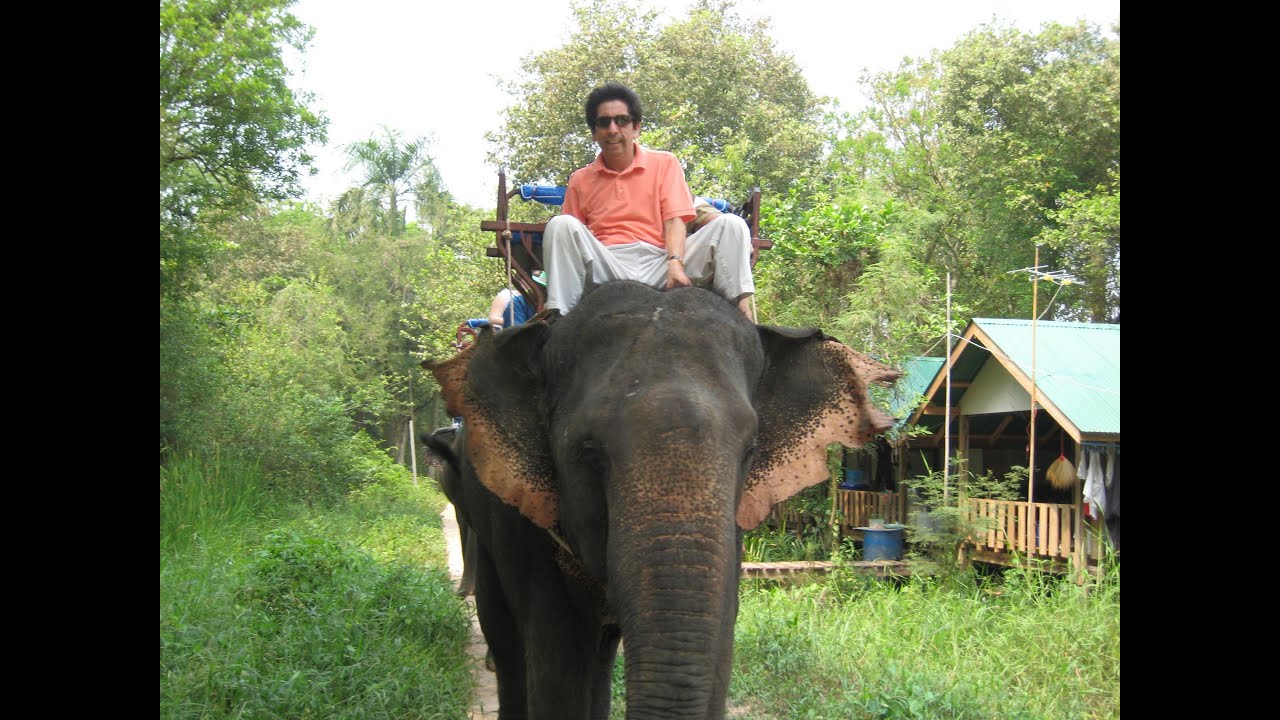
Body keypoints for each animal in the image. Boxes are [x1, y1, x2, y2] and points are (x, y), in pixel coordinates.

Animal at [420, 281, 899, 720]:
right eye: (588, 451)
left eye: (750, 449)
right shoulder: (525, 528)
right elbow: (557, 668)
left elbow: (718, 647)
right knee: (505, 636)